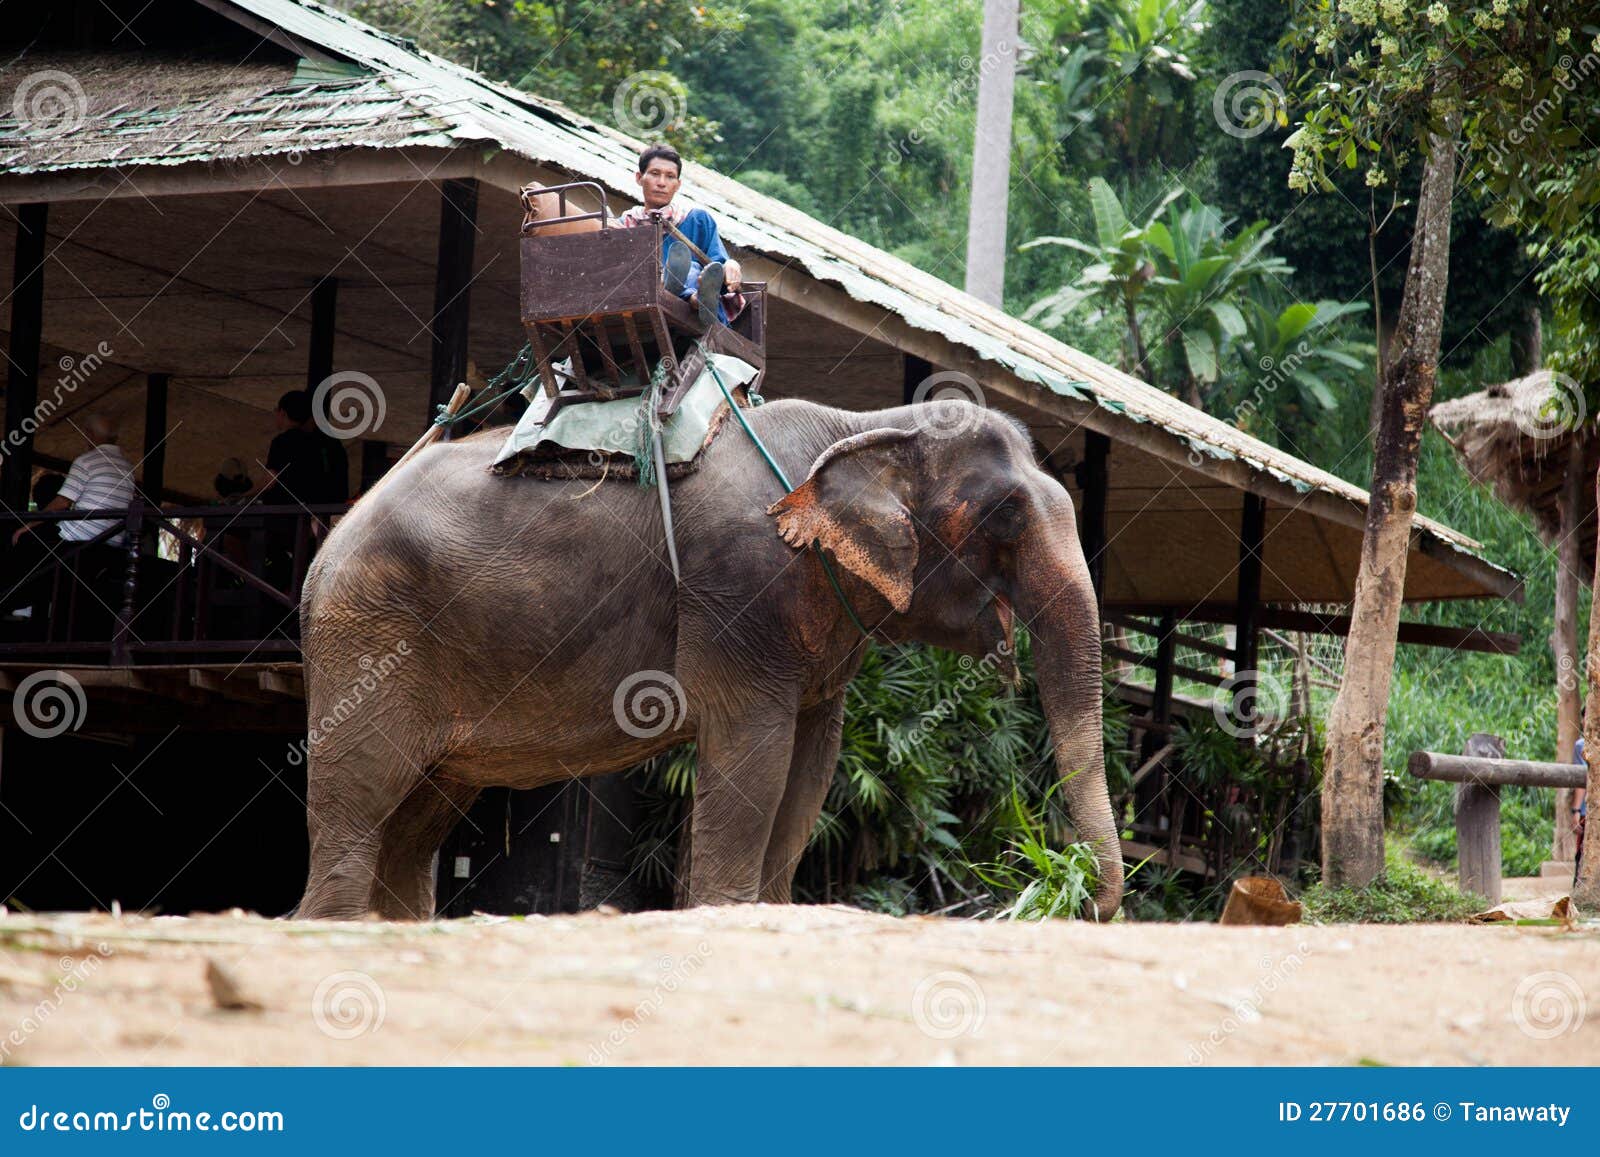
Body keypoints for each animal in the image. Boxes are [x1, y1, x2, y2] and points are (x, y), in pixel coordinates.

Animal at [293, 396, 1122, 921]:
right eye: (1007, 516)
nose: (1082, 897)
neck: (868, 425)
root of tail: (330, 542)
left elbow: (813, 766)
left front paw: (770, 911)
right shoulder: (740, 591)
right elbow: (754, 755)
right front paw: (726, 911)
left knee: (418, 815)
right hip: (369, 637)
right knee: (361, 792)